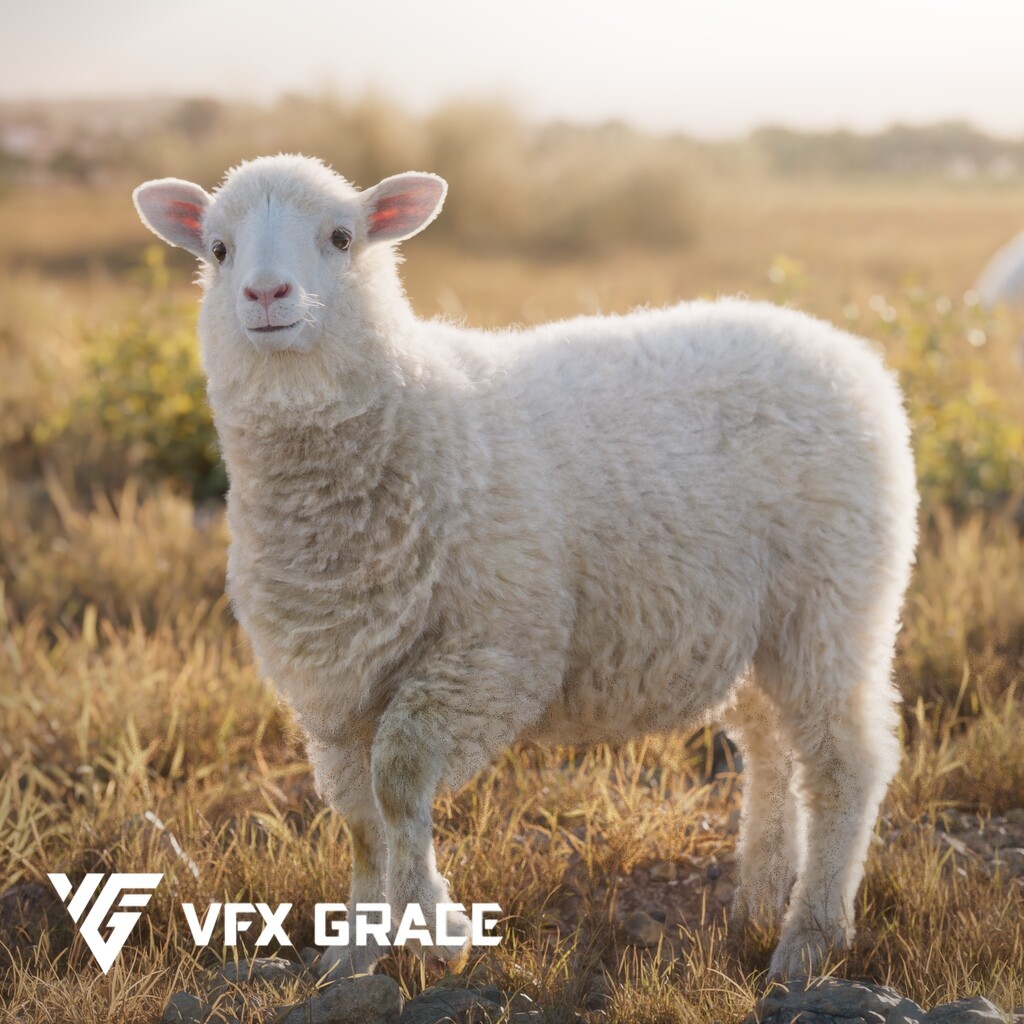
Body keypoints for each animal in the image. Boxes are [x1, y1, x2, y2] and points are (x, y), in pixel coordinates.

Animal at [133, 154, 919, 980]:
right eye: (217, 249)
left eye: (342, 237)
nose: (265, 295)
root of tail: (844, 351)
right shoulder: (335, 687)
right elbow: (358, 820)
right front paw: (355, 950)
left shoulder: (491, 654)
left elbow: (398, 784)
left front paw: (439, 930)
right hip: (758, 628)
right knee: (772, 750)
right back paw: (762, 896)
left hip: (832, 602)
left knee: (845, 763)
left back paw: (811, 936)